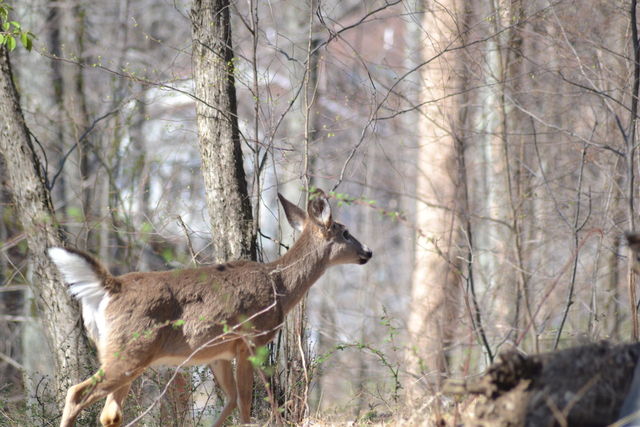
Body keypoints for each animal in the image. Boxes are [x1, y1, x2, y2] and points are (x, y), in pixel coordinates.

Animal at [48, 189, 372, 427]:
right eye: (345, 232)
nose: (368, 252)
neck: (279, 286)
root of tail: (110, 287)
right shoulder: (250, 339)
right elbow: (248, 400)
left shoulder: (218, 353)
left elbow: (230, 400)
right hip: (130, 349)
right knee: (76, 392)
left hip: (124, 353)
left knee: (109, 414)